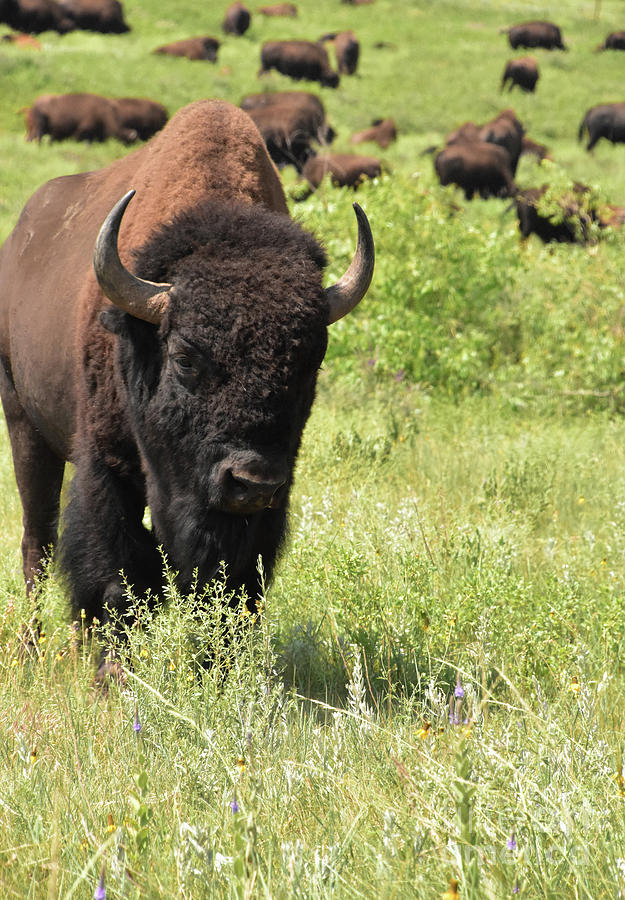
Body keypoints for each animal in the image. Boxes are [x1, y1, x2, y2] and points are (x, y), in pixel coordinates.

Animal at [0, 100, 374, 681]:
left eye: (309, 364)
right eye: (184, 357)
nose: (252, 480)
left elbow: (233, 587)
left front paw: (219, 672)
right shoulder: (107, 466)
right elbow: (117, 576)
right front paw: (113, 678)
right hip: (23, 423)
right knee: (37, 543)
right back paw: (31, 651)